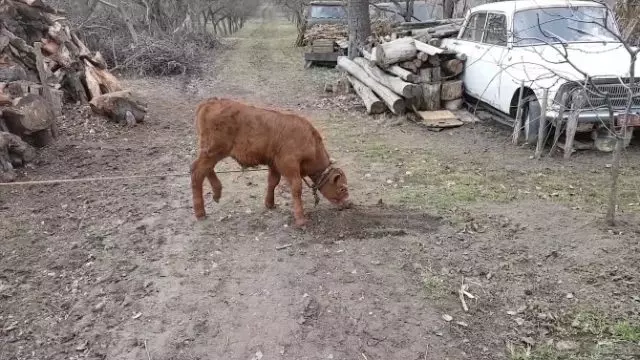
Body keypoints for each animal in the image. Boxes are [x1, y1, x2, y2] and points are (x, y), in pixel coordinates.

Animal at [190, 97, 350, 226]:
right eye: (342, 188)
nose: (348, 204)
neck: (310, 141)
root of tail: (212, 101)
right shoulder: (288, 164)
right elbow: (296, 188)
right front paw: (300, 219)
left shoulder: (274, 164)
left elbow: (273, 181)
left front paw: (270, 204)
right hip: (214, 151)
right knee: (197, 171)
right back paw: (200, 213)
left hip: (210, 151)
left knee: (205, 169)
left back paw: (217, 193)